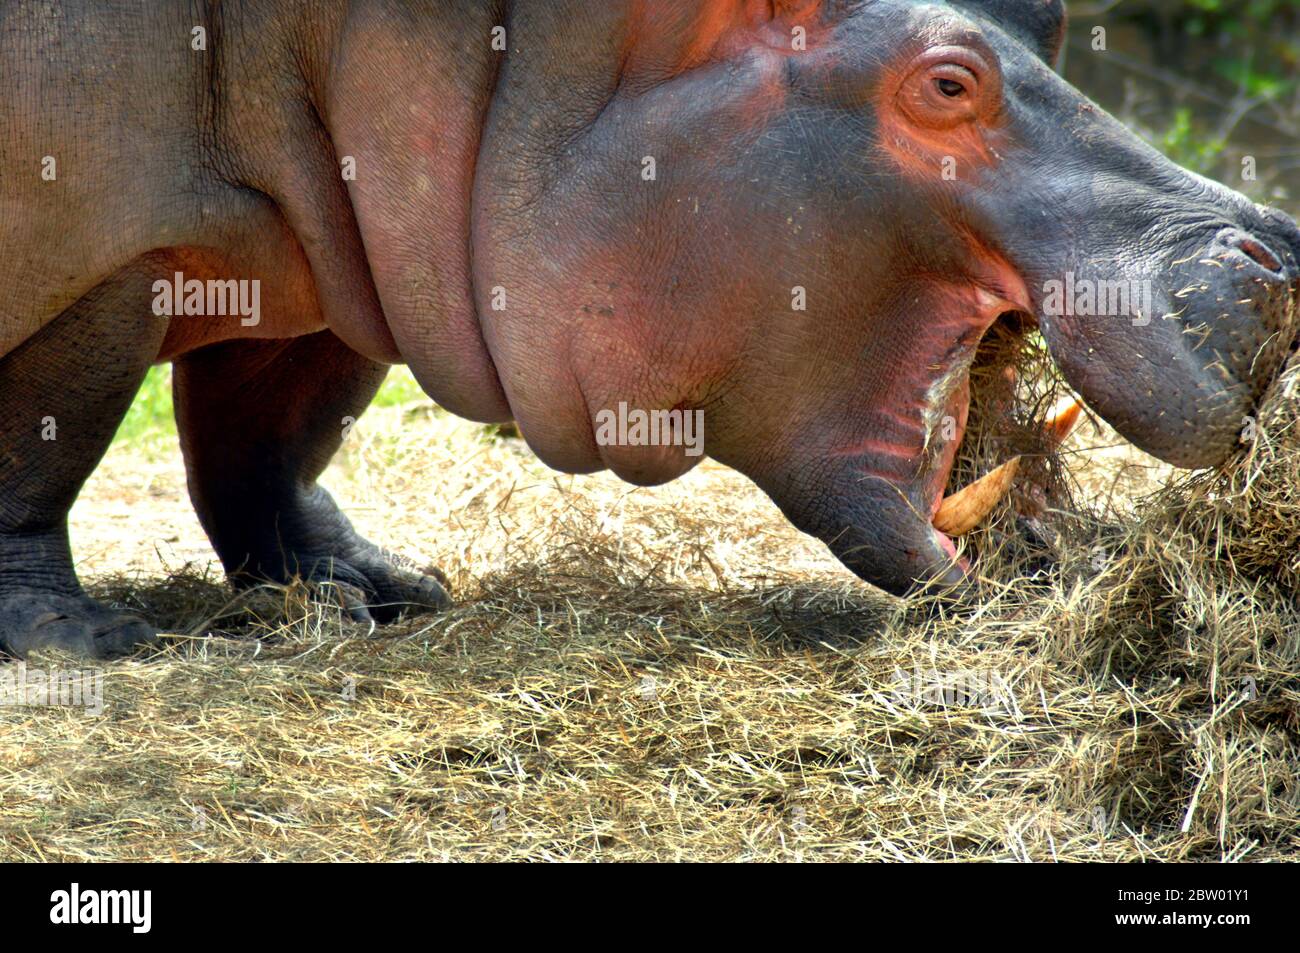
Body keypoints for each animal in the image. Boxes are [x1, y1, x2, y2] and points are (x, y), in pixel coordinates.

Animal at [1, 0, 1298, 658]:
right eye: (945, 83)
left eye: (1052, 13)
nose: (1276, 247)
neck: (540, 62)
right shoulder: (108, 260)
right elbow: (45, 442)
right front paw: (80, 641)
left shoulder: (337, 237)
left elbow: (272, 430)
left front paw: (372, 588)